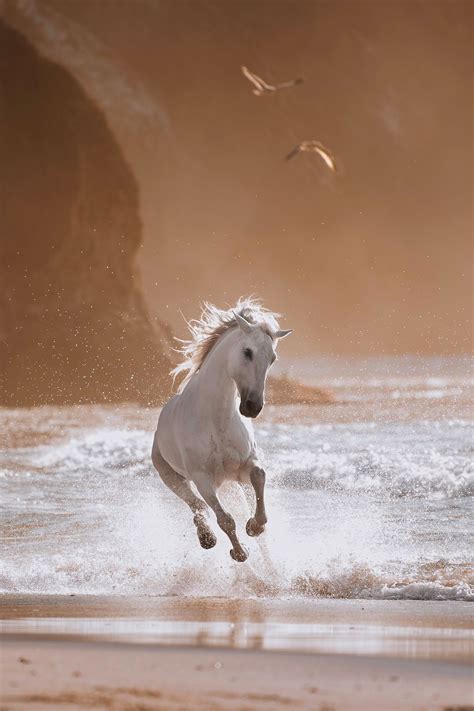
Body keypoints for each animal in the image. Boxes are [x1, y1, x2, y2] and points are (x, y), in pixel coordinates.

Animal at [151, 298, 292, 562]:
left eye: (273, 358)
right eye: (247, 352)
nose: (253, 406)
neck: (216, 420)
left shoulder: (245, 466)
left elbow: (259, 476)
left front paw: (254, 526)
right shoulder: (202, 478)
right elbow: (225, 520)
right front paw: (240, 552)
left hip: (229, 482)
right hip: (171, 476)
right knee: (196, 505)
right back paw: (206, 538)